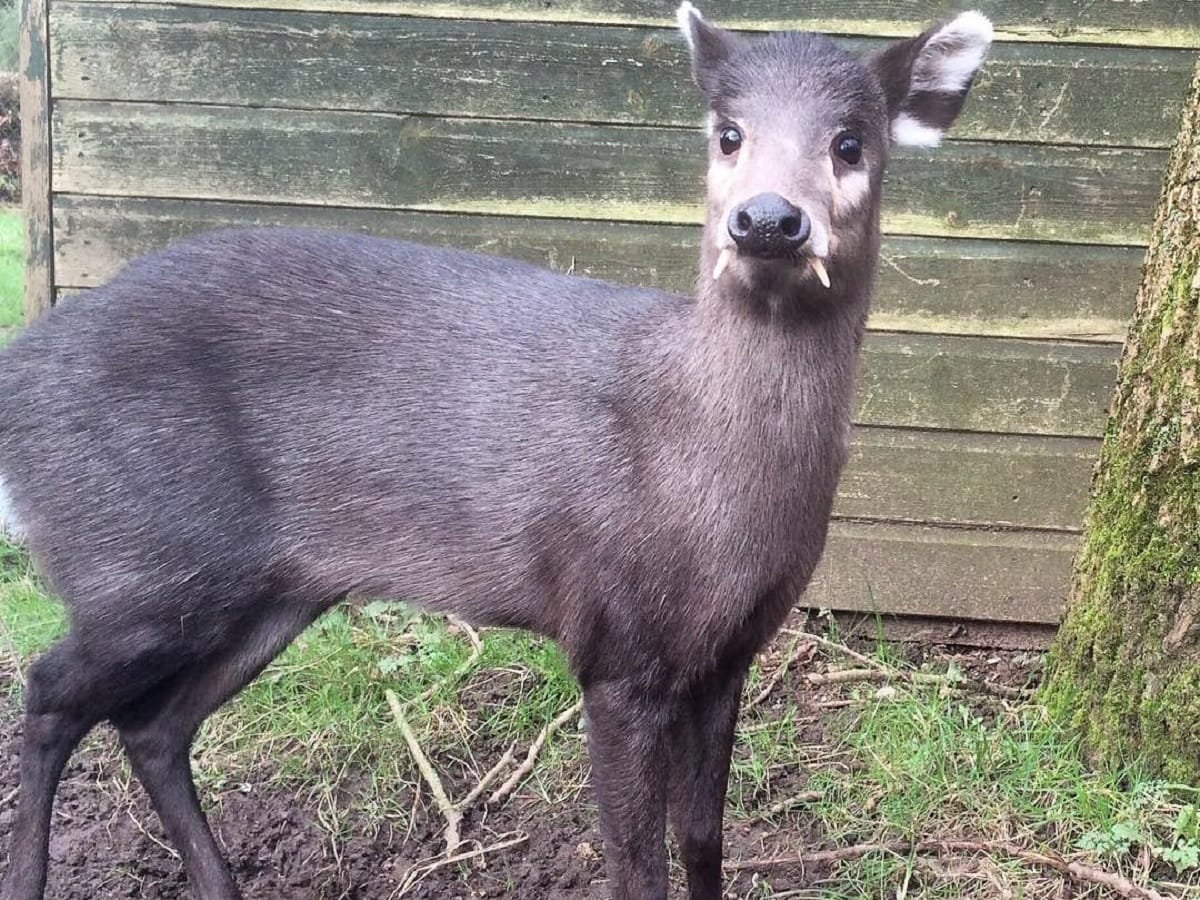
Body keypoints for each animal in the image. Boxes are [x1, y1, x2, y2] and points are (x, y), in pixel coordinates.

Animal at [0, 5, 991, 899]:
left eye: (851, 142)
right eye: (728, 134)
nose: (768, 219)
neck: (705, 486)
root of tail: (20, 380)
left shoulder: (731, 649)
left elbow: (705, 842)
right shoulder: (613, 641)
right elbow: (636, 862)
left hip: (266, 587)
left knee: (153, 726)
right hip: (138, 561)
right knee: (50, 689)